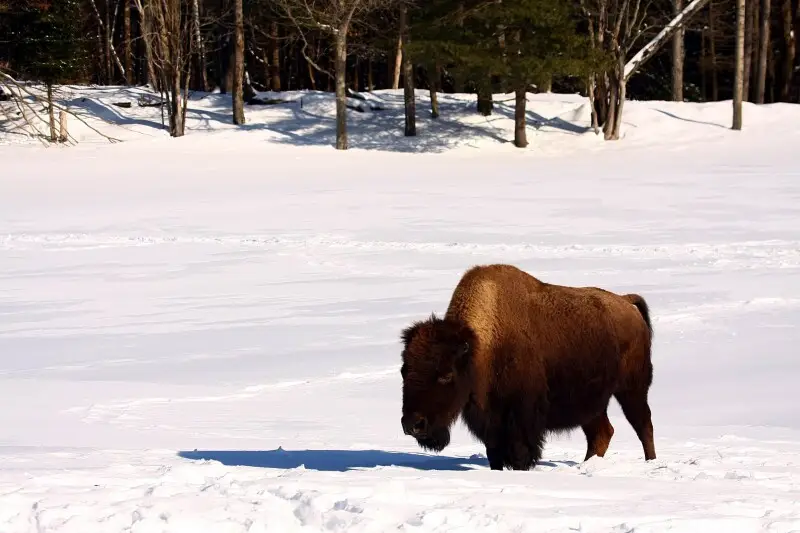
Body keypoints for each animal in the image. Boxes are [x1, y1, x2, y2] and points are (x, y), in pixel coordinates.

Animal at [399, 264, 656, 471]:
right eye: (404, 371)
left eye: (446, 375)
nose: (413, 425)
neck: (481, 344)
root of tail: (626, 302)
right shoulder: (492, 424)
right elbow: (495, 455)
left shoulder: (520, 422)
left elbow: (520, 455)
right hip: (592, 403)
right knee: (602, 433)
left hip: (632, 389)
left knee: (643, 425)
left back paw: (651, 463)